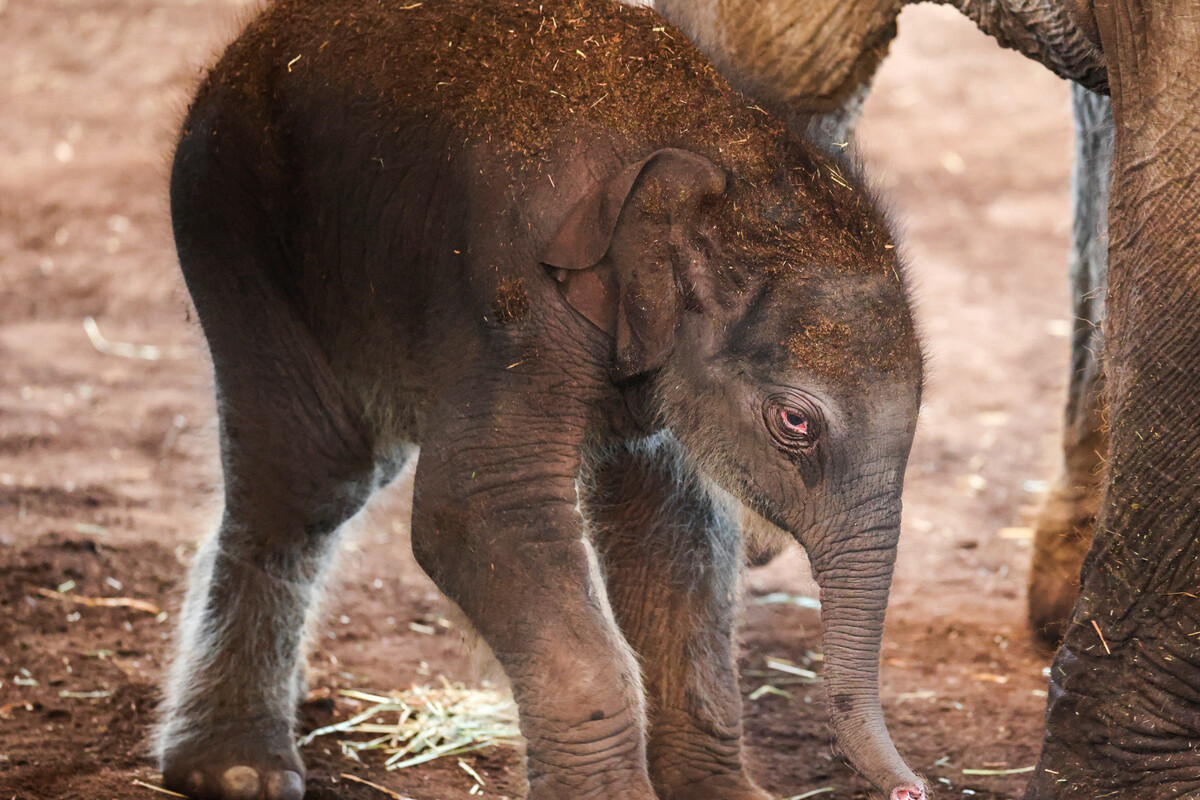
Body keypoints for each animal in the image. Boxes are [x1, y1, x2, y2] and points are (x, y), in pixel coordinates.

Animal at [155, 0, 930, 799]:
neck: (713, 149)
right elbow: (478, 512)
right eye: (795, 422)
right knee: (313, 478)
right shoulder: (515, 299)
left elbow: (670, 527)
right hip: (232, 221)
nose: (913, 787)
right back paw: (237, 772)